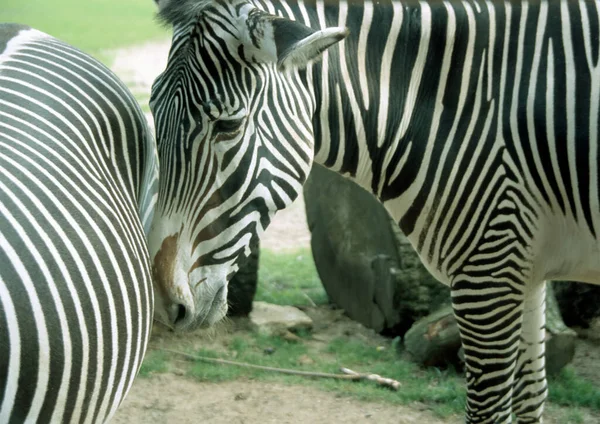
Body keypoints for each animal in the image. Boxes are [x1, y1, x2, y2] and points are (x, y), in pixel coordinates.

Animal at [149, 0, 600, 422]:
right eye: (153, 110)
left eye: (228, 125)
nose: (162, 303)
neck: (467, 112)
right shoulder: (526, 269)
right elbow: (531, 396)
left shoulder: (488, 271)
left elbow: (490, 409)